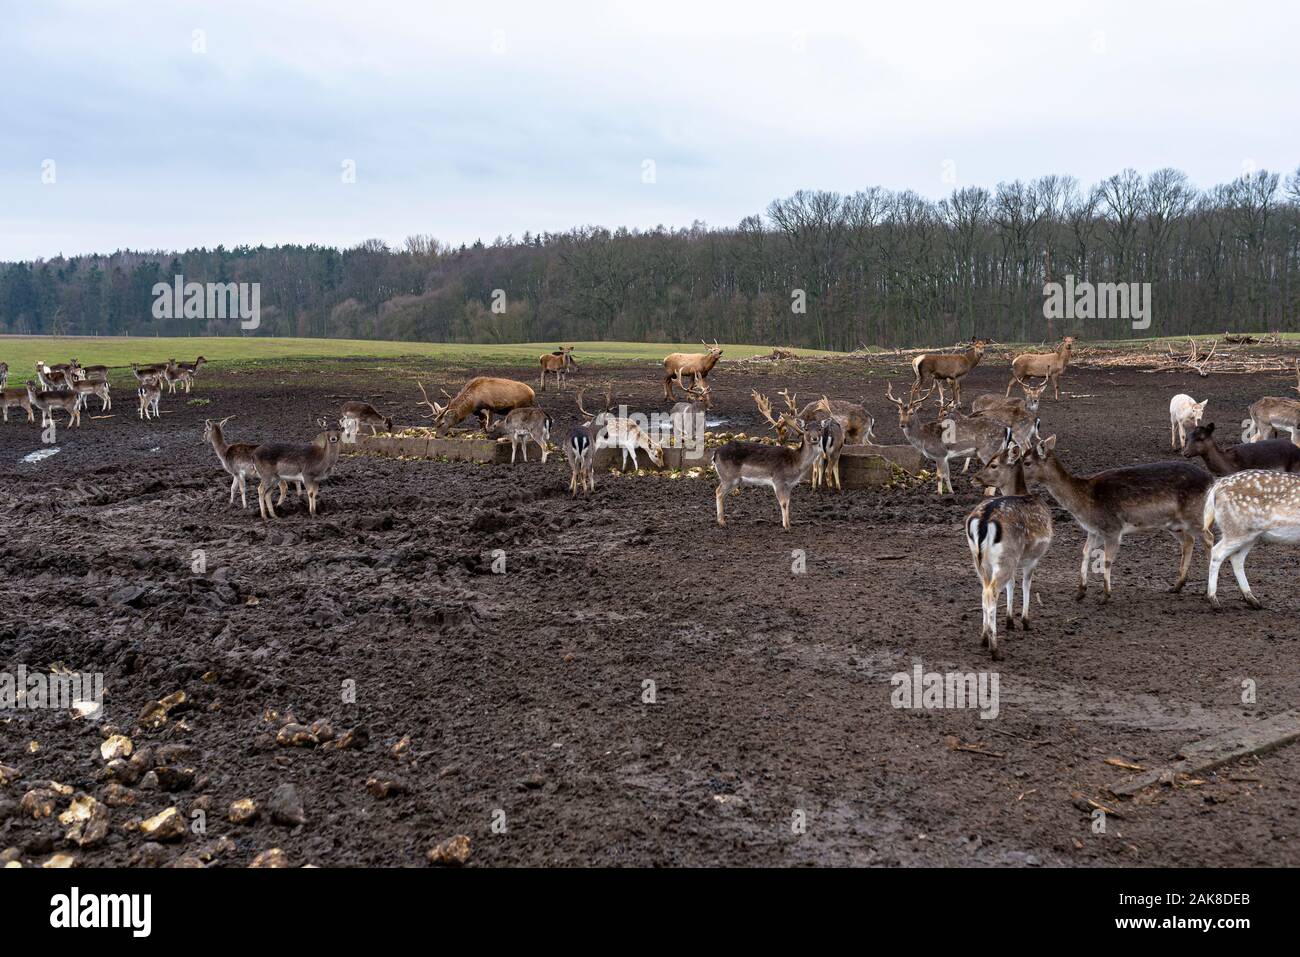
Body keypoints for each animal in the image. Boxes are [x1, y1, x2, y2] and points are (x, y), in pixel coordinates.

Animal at [966, 446, 1054, 659]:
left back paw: (984, 638)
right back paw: (995, 648)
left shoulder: (1016, 560)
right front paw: (1025, 621)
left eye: (993, 464)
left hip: (981, 560)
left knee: (984, 591)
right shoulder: (1033, 558)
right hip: (1007, 557)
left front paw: (1010, 621)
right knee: (991, 593)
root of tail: (984, 519)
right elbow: (1026, 584)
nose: (974, 478)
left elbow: (1012, 585)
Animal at [1019, 434, 1213, 601]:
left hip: (1196, 515)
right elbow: (1085, 552)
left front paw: (1105, 595)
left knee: (1209, 539)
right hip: (1174, 524)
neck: (1084, 502)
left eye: (1027, 462)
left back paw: (1207, 591)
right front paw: (1080, 592)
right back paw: (1177, 586)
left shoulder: (1112, 527)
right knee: (1188, 541)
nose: (1018, 477)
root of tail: (1211, 480)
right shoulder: (1094, 530)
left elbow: (1106, 559)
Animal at [1203, 469, 1300, 609]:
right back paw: (1214, 600)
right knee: (1217, 552)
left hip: (1251, 535)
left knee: (1236, 558)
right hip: (1237, 530)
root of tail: (1216, 486)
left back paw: (1252, 599)